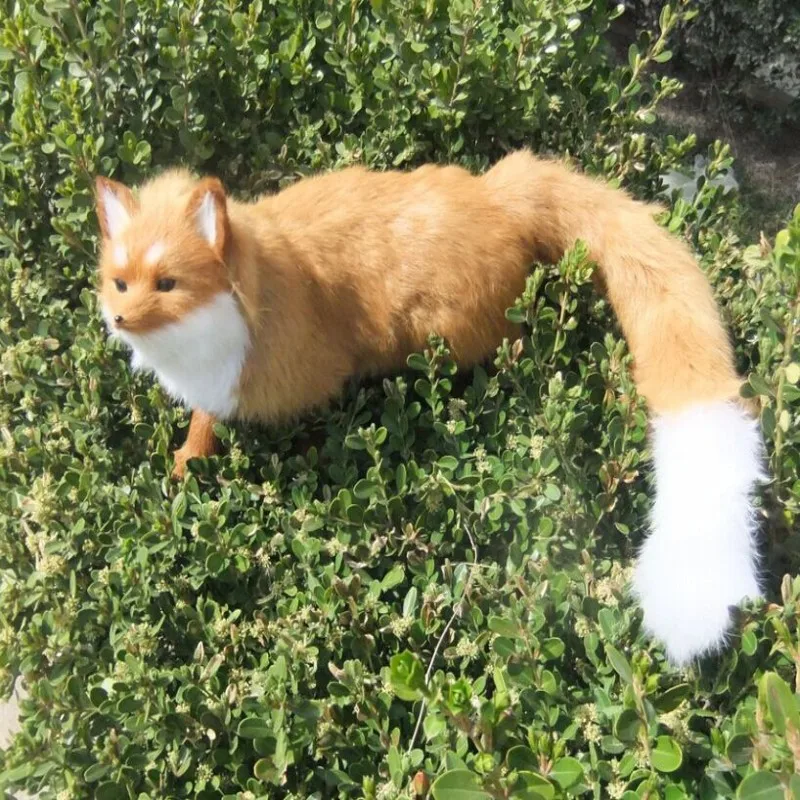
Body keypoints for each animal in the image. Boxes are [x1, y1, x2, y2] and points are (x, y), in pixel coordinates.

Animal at [95, 150, 766, 666]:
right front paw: (185, 466)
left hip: (459, 333)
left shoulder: (312, 379)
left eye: (168, 284)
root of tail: (499, 190)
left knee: (510, 343)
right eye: (119, 282)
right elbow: (201, 430)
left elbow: (308, 428)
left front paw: (303, 459)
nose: (119, 320)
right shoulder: (216, 391)